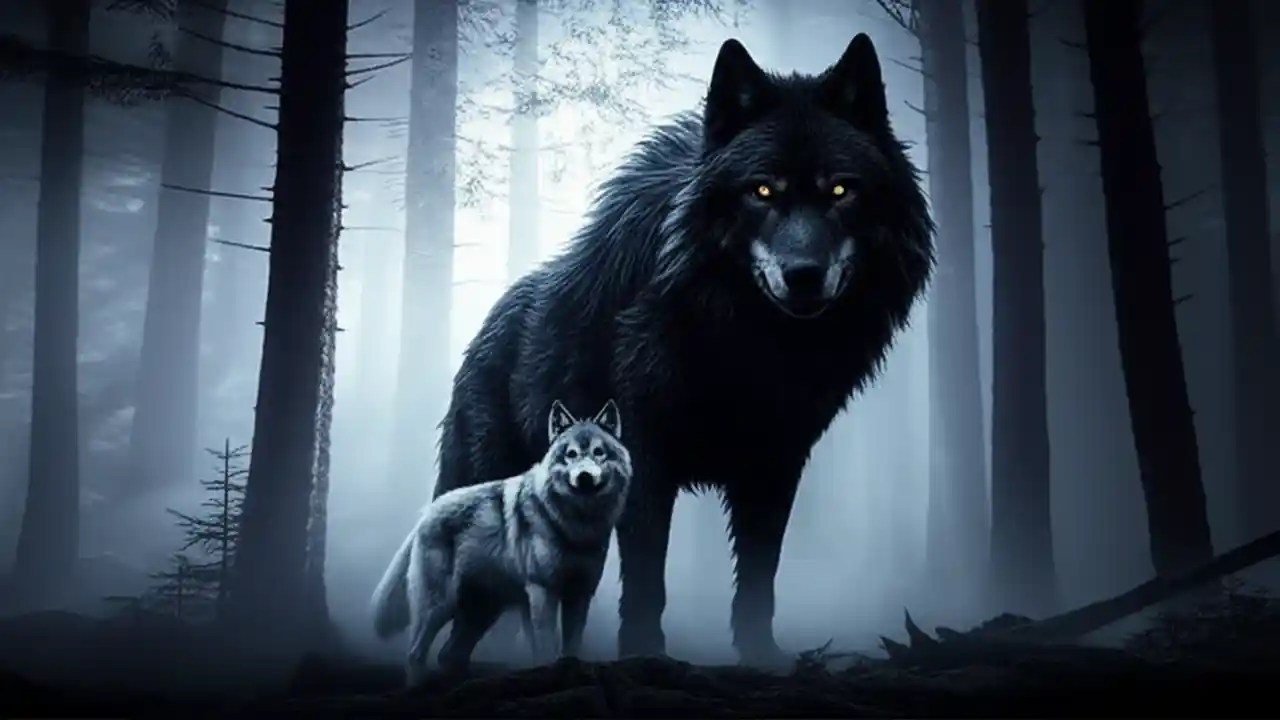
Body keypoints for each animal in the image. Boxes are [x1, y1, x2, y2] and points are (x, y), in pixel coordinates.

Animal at [372, 400, 631, 683]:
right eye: (571, 454)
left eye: (598, 452)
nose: (584, 476)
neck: (575, 526)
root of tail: (426, 513)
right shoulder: (543, 591)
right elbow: (545, 646)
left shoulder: (580, 594)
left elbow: (571, 646)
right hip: (439, 607)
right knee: (415, 653)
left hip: (481, 612)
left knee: (448, 655)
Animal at [433, 35, 933, 665]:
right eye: (761, 190)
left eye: (841, 190)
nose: (803, 275)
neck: (750, 344)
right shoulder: (644, 453)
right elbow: (649, 575)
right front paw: (645, 654)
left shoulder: (777, 456)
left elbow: (760, 574)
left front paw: (761, 656)